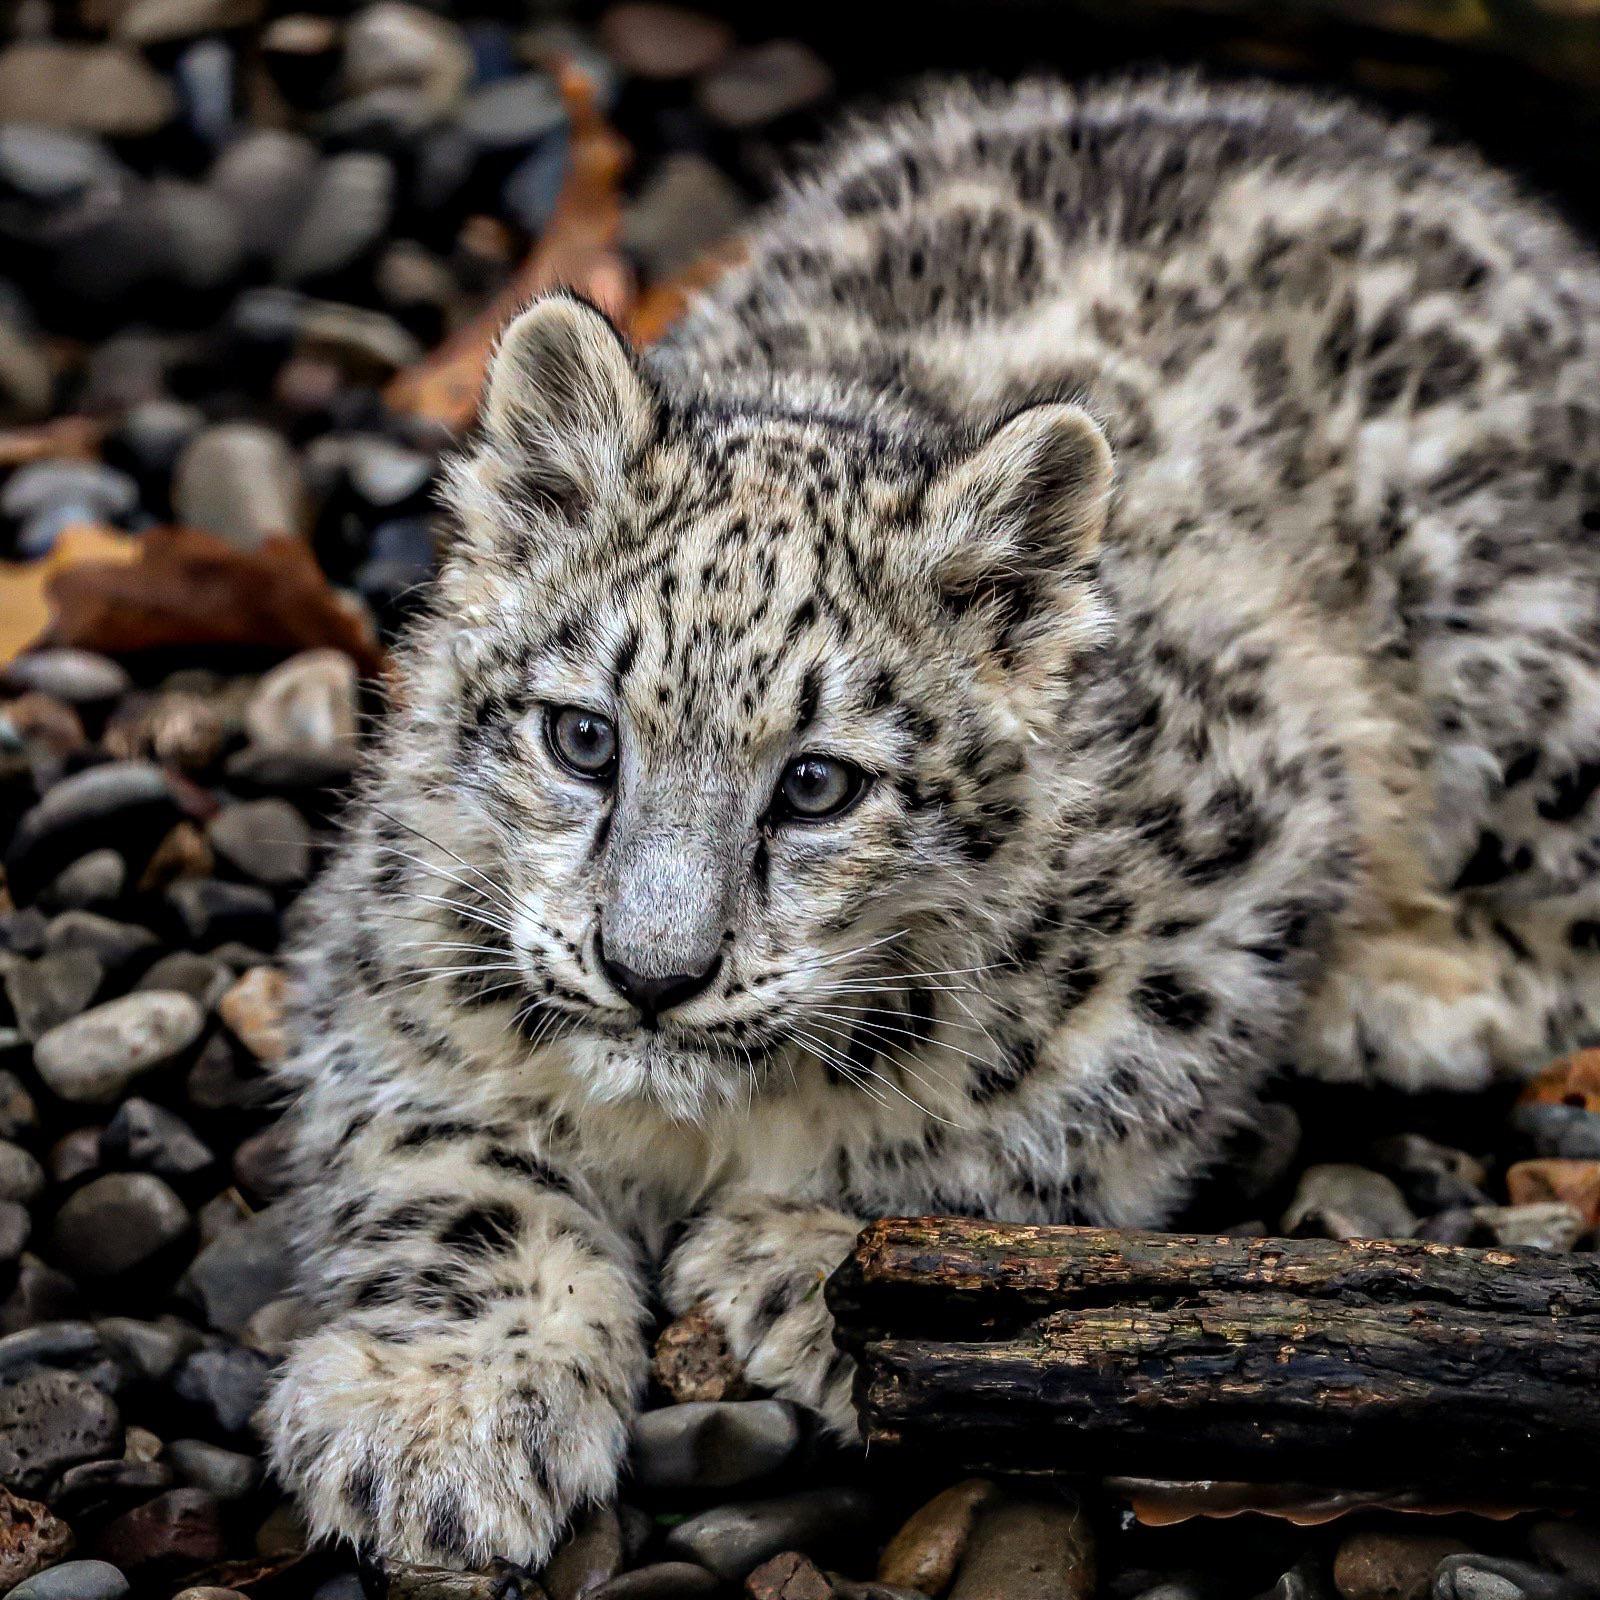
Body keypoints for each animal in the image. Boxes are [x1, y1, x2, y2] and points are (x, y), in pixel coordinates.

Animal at [265, 71, 1600, 1570]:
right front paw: (439, 1416)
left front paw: (803, 1263)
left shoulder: (1232, 878)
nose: (653, 973)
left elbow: (1046, 1120)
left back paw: (1406, 986)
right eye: (583, 736)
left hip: (1500, 654)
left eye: (817, 783)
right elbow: (445, 1162)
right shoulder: (399, 966)